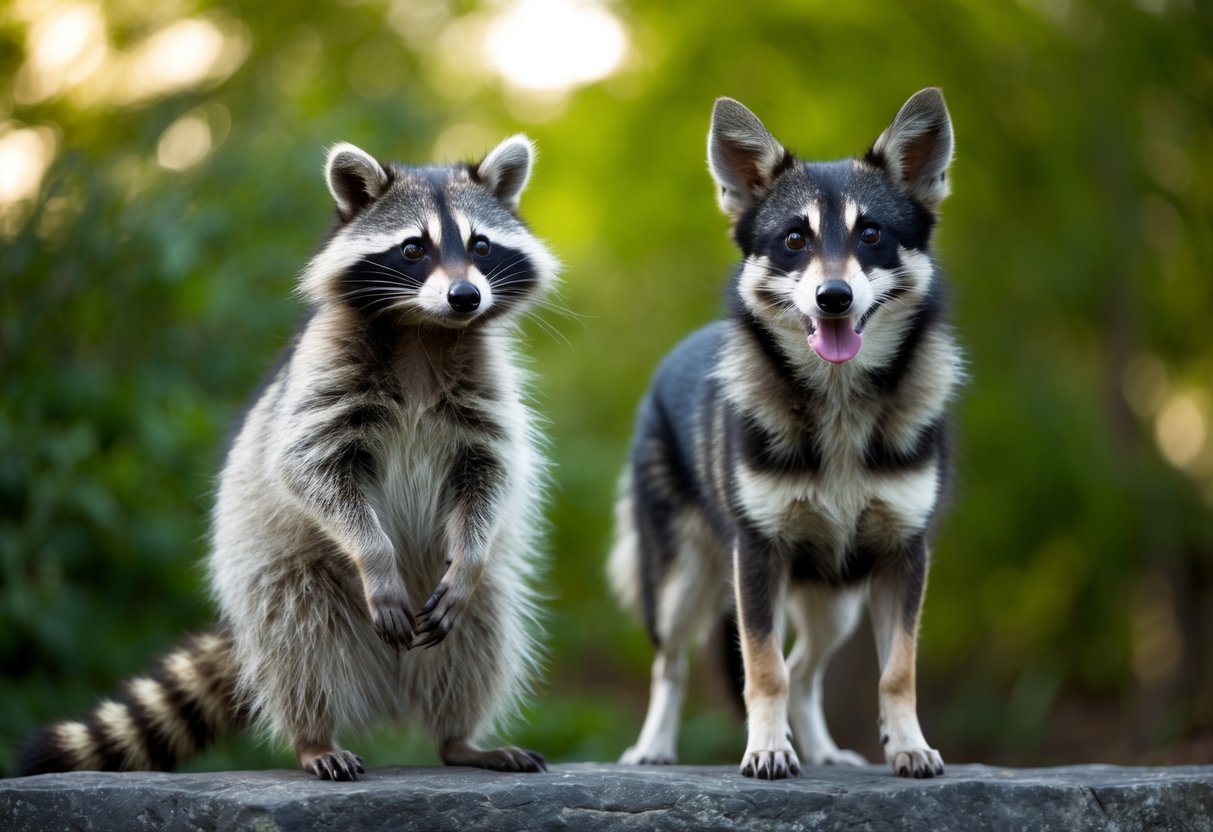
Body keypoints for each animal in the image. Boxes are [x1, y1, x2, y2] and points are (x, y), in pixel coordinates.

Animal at [20, 134, 560, 780]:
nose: (465, 296)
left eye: (480, 245)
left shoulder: (485, 388)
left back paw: (459, 737)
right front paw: (375, 554)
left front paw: (472, 548)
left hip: (456, 593)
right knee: (300, 643)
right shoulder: (323, 376)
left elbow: (492, 471)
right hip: (281, 575)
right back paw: (314, 735)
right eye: (413, 249)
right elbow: (309, 467)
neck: (423, 329)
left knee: (481, 632)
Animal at [610, 89, 959, 779]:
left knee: (807, 670)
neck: (840, 402)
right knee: (673, 664)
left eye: (871, 234)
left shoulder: (904, 553)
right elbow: (762, 670)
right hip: (680, 579)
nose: (834, 297)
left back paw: (824, 751)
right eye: (795, 239)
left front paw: (909, 746)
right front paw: (767, 750)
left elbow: (896, 672)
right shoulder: (756, 555)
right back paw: (653, 747)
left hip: (835, 602)